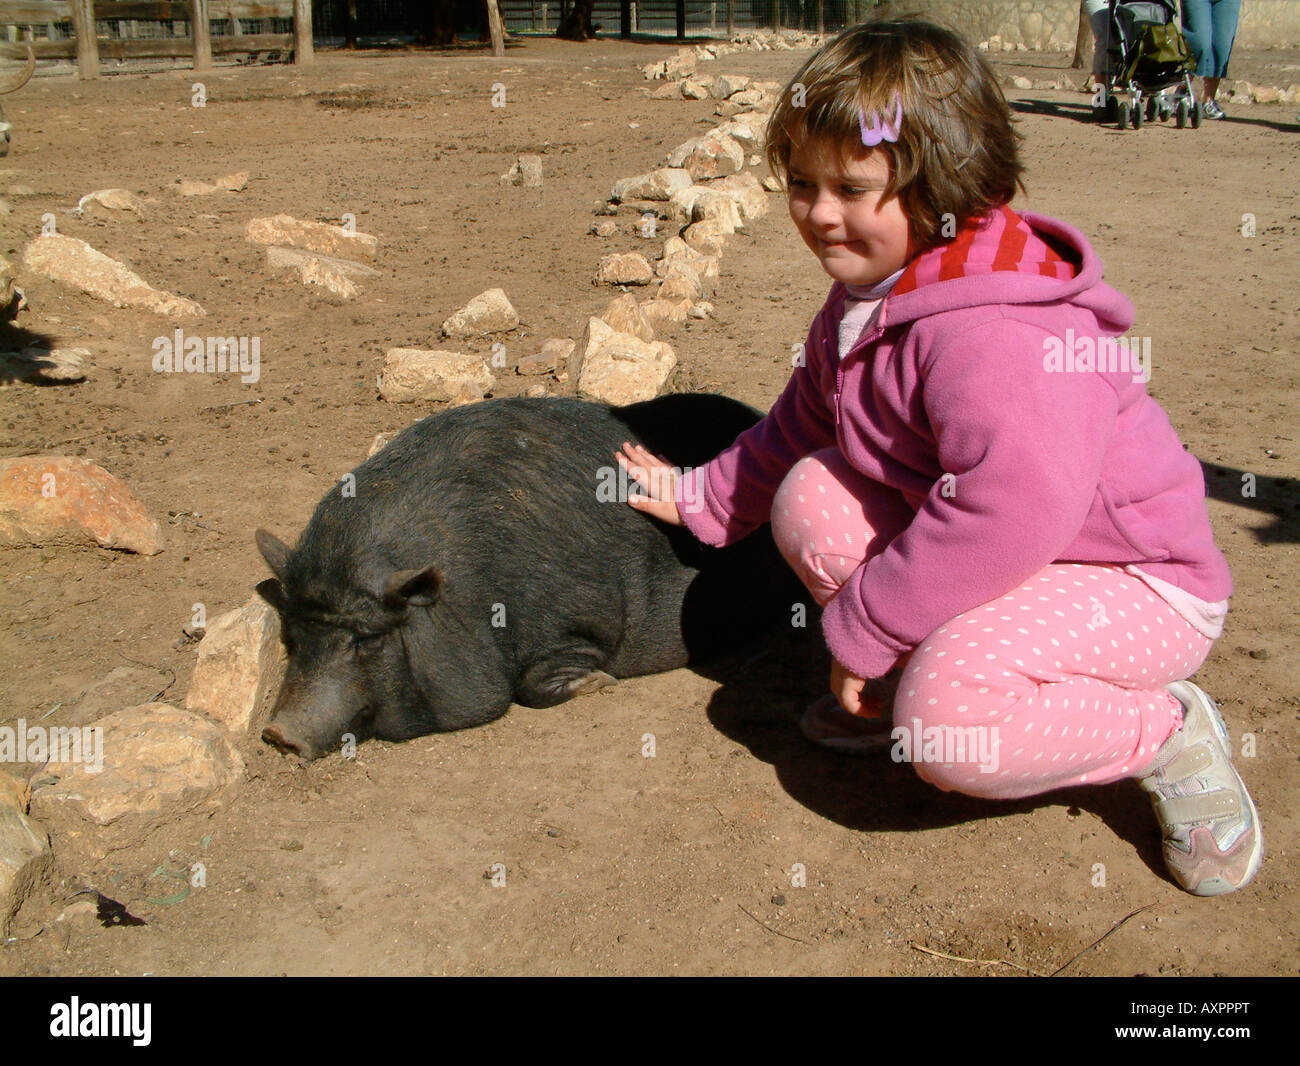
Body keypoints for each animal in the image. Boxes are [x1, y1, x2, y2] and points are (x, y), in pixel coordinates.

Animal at [255, 393, 807, 759]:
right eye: (292, 636)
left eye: (366, 640)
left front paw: (599, 682)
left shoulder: (583, 617)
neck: (471, 596)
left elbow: (536, 683)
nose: (278, 733)